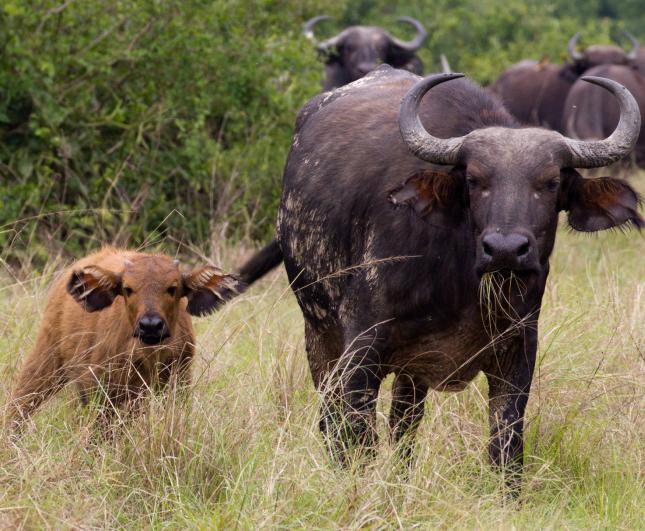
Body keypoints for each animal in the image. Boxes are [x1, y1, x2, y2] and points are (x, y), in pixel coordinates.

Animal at [6, 247, 244, 430]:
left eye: (173, 288)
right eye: (128, 289)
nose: (150, 325)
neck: (148, 356)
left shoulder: (176, 384)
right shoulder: (102, 390)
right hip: (46, 358)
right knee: (20, 402)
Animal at [245, 63, 640, 486]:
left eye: (550, 183)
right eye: (474, 180)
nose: (505, 248)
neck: (463, 285)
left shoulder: (518, 353)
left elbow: (506, 449)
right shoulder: (361, 350)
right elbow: (356, 438)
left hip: (410, 374)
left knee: (404, 426)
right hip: (319, 334)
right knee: (332, 419)